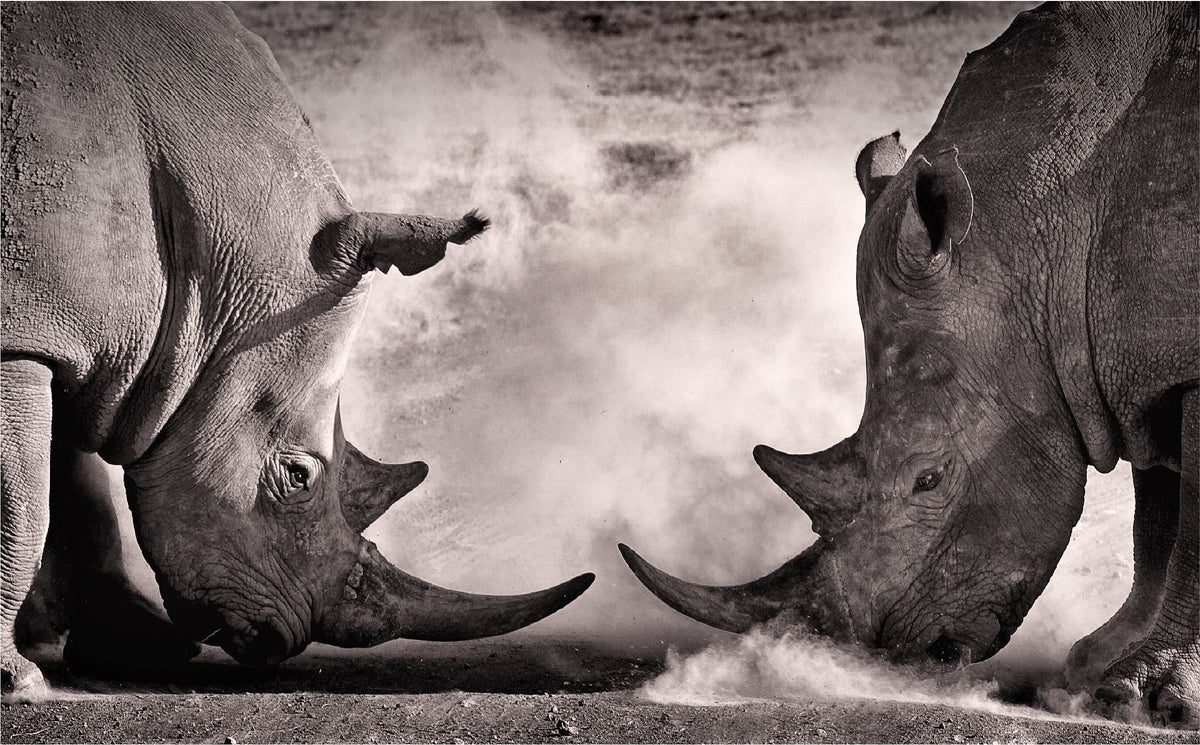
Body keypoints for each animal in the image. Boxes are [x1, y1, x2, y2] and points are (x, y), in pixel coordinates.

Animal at [1, 3, 593, 696]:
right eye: (297, 476)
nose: (281, 640)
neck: (206, 275)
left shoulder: (69, 338)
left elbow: (75, 496)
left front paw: (143, 652)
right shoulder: (26, 335)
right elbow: (25, 501)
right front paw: (21, 682)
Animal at [620, 3, 1198, 724]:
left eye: (928, 479)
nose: (890, 653)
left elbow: (1188, 530)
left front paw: (1141, 698)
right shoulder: (1136, 360)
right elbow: (1159, 513)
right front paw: (1096, 669)